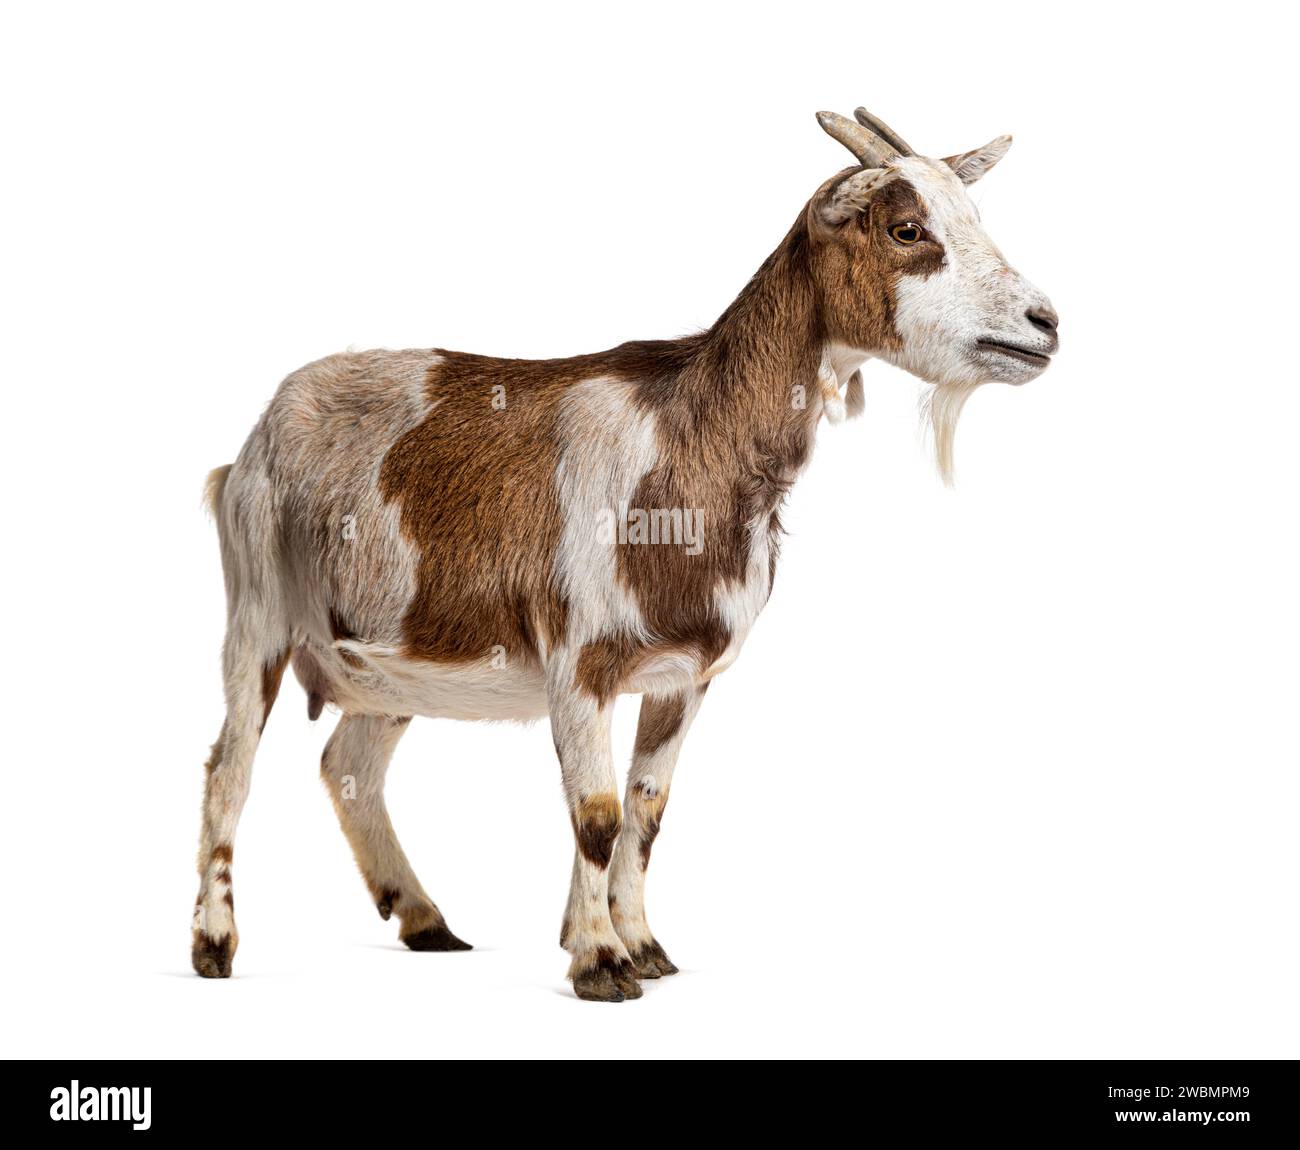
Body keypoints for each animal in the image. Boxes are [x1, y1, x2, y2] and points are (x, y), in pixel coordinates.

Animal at [192, 107, 1059, 1000]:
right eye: (906, 228)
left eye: (974, 217)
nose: (1045, 324)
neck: (685, 441)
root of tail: (251, 441)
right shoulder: (579, 662)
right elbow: (597, 815)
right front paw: (599, 964)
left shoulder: (684, 677)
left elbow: (645, 810)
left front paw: (641, 946)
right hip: (257, 606)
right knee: (230, 765)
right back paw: (216, 945)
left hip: (391, 658)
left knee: (349, 766)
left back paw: (427, 922)